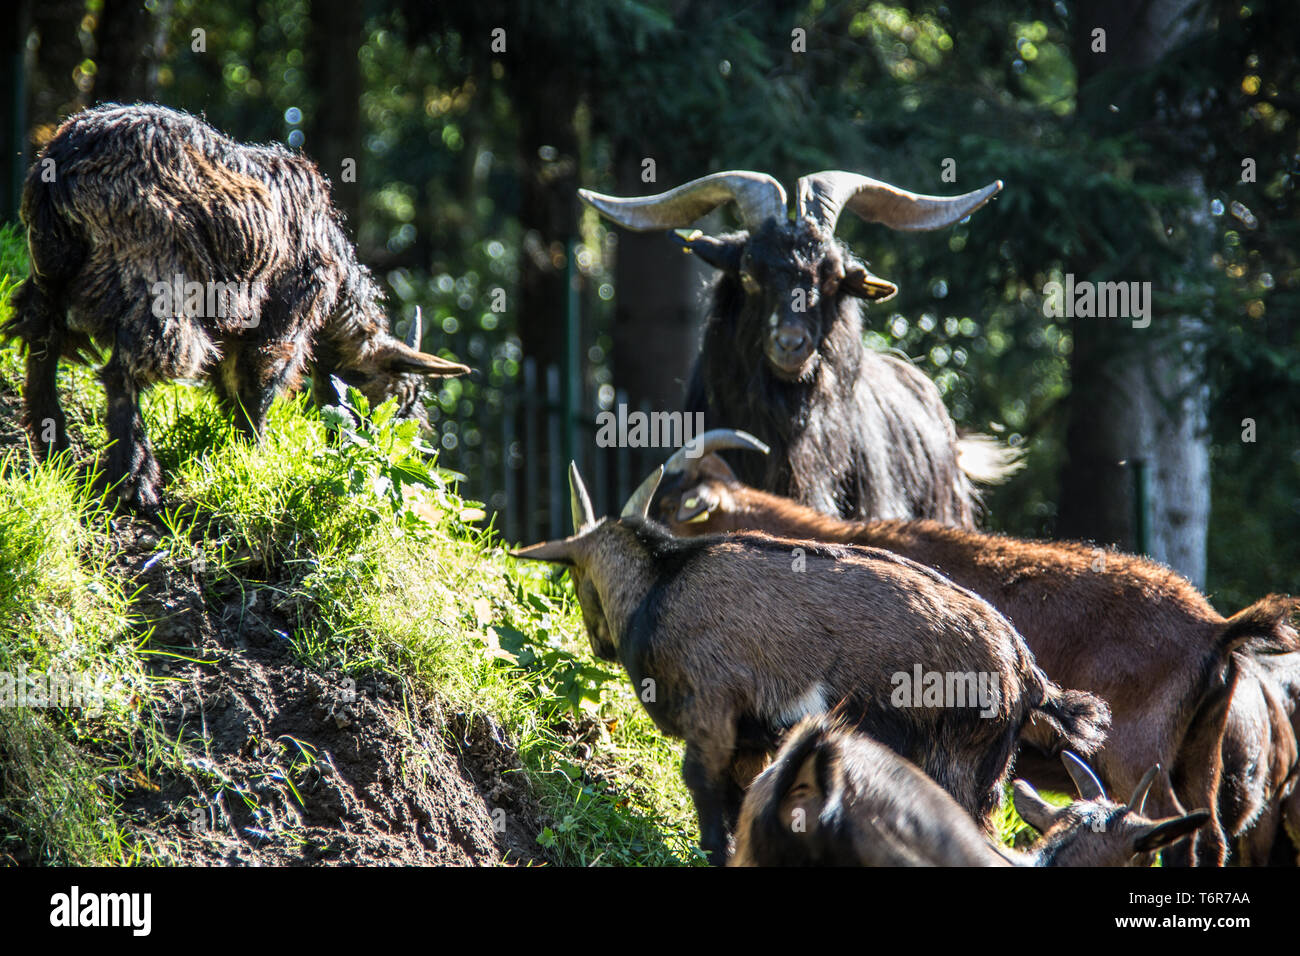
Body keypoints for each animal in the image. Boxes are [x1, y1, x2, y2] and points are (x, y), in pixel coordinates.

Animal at [1, 103, 469, 511]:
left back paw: (52, 447)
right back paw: (134, 482)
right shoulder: (285, 318)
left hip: (53, 268)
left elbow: (230, 387)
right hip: (153, 276)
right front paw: (256, 455)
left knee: (40, 339)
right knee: (125, 369)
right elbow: (258, 387)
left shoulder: (234, 328)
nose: (402, 451)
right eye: (400, 396)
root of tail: (65, 160)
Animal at [513, 463, 1109, 864]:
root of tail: (1026, 673)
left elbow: (707, 801)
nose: (599, 645)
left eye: (574, 575)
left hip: (955, 761)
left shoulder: (712, 714)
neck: (664, 582)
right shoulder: (754, 741)